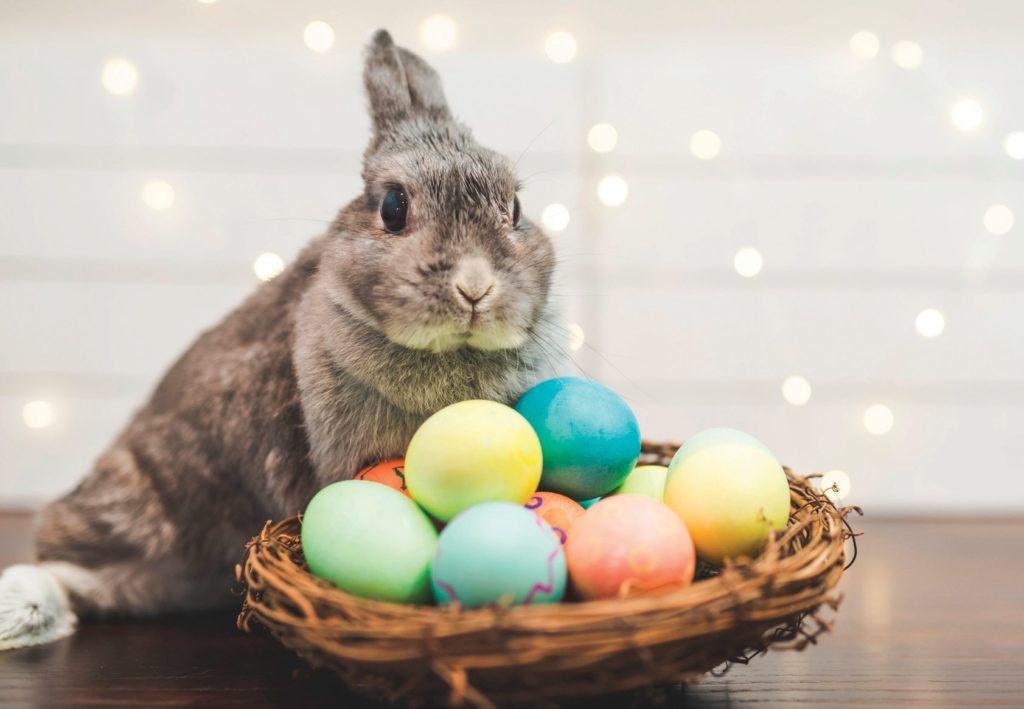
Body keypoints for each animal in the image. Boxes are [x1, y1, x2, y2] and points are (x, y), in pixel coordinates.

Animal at [0, 29, 569, 650]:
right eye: (393, 207)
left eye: (515, 207)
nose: (475, 286)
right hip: (139, 504)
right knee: (66, 566)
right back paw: (22, 611)